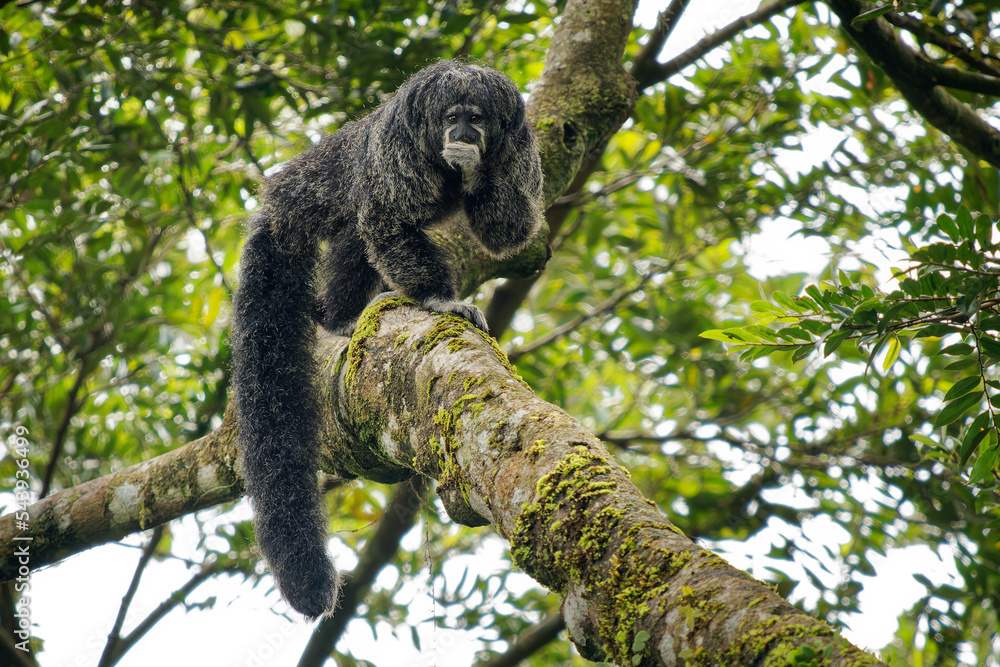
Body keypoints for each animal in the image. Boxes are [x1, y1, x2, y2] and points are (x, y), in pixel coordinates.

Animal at [231, 60, 544, 619]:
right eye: (452, 117)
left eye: (476, 119)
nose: (463, 135)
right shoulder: (398, 143)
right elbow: (386, 218)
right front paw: (440, 299)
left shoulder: (518, 144)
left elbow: (510, 230)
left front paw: (475, 169)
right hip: (281, 240)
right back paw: (339, 319)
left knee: (355, 235)